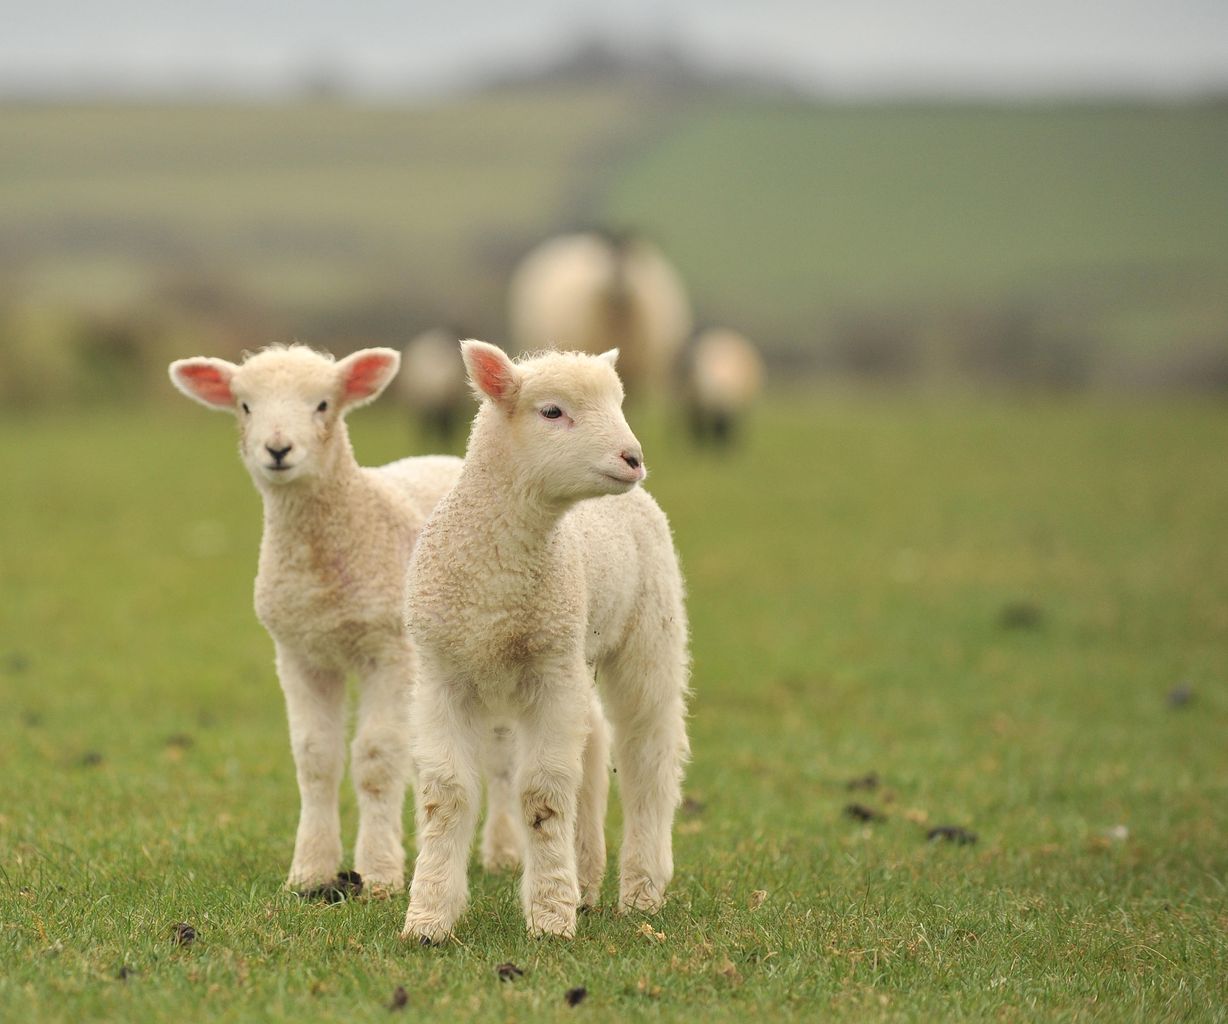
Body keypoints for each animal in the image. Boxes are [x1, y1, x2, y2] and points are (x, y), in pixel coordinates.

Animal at [168, 343, 463, 895]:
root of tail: (448, 458)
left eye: (324, 404)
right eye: (244, 405)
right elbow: (315, 758)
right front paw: (310, 871)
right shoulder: (299, 653)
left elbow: (375, 759)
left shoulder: (388, 650)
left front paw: (379, 874)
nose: (278, 449)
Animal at [400, 340, 691, 943]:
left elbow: (541, 796)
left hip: (648, 634)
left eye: (619, 403)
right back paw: (589, 877)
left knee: (648, 756)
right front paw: (429, 917)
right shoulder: (442, 674)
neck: (497, 580)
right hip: (577, 650)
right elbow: (446, 795)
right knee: (595, 745)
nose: (632, 457)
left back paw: (641, 890)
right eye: (552, 412)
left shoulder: (549, 674)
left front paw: (551, 915)